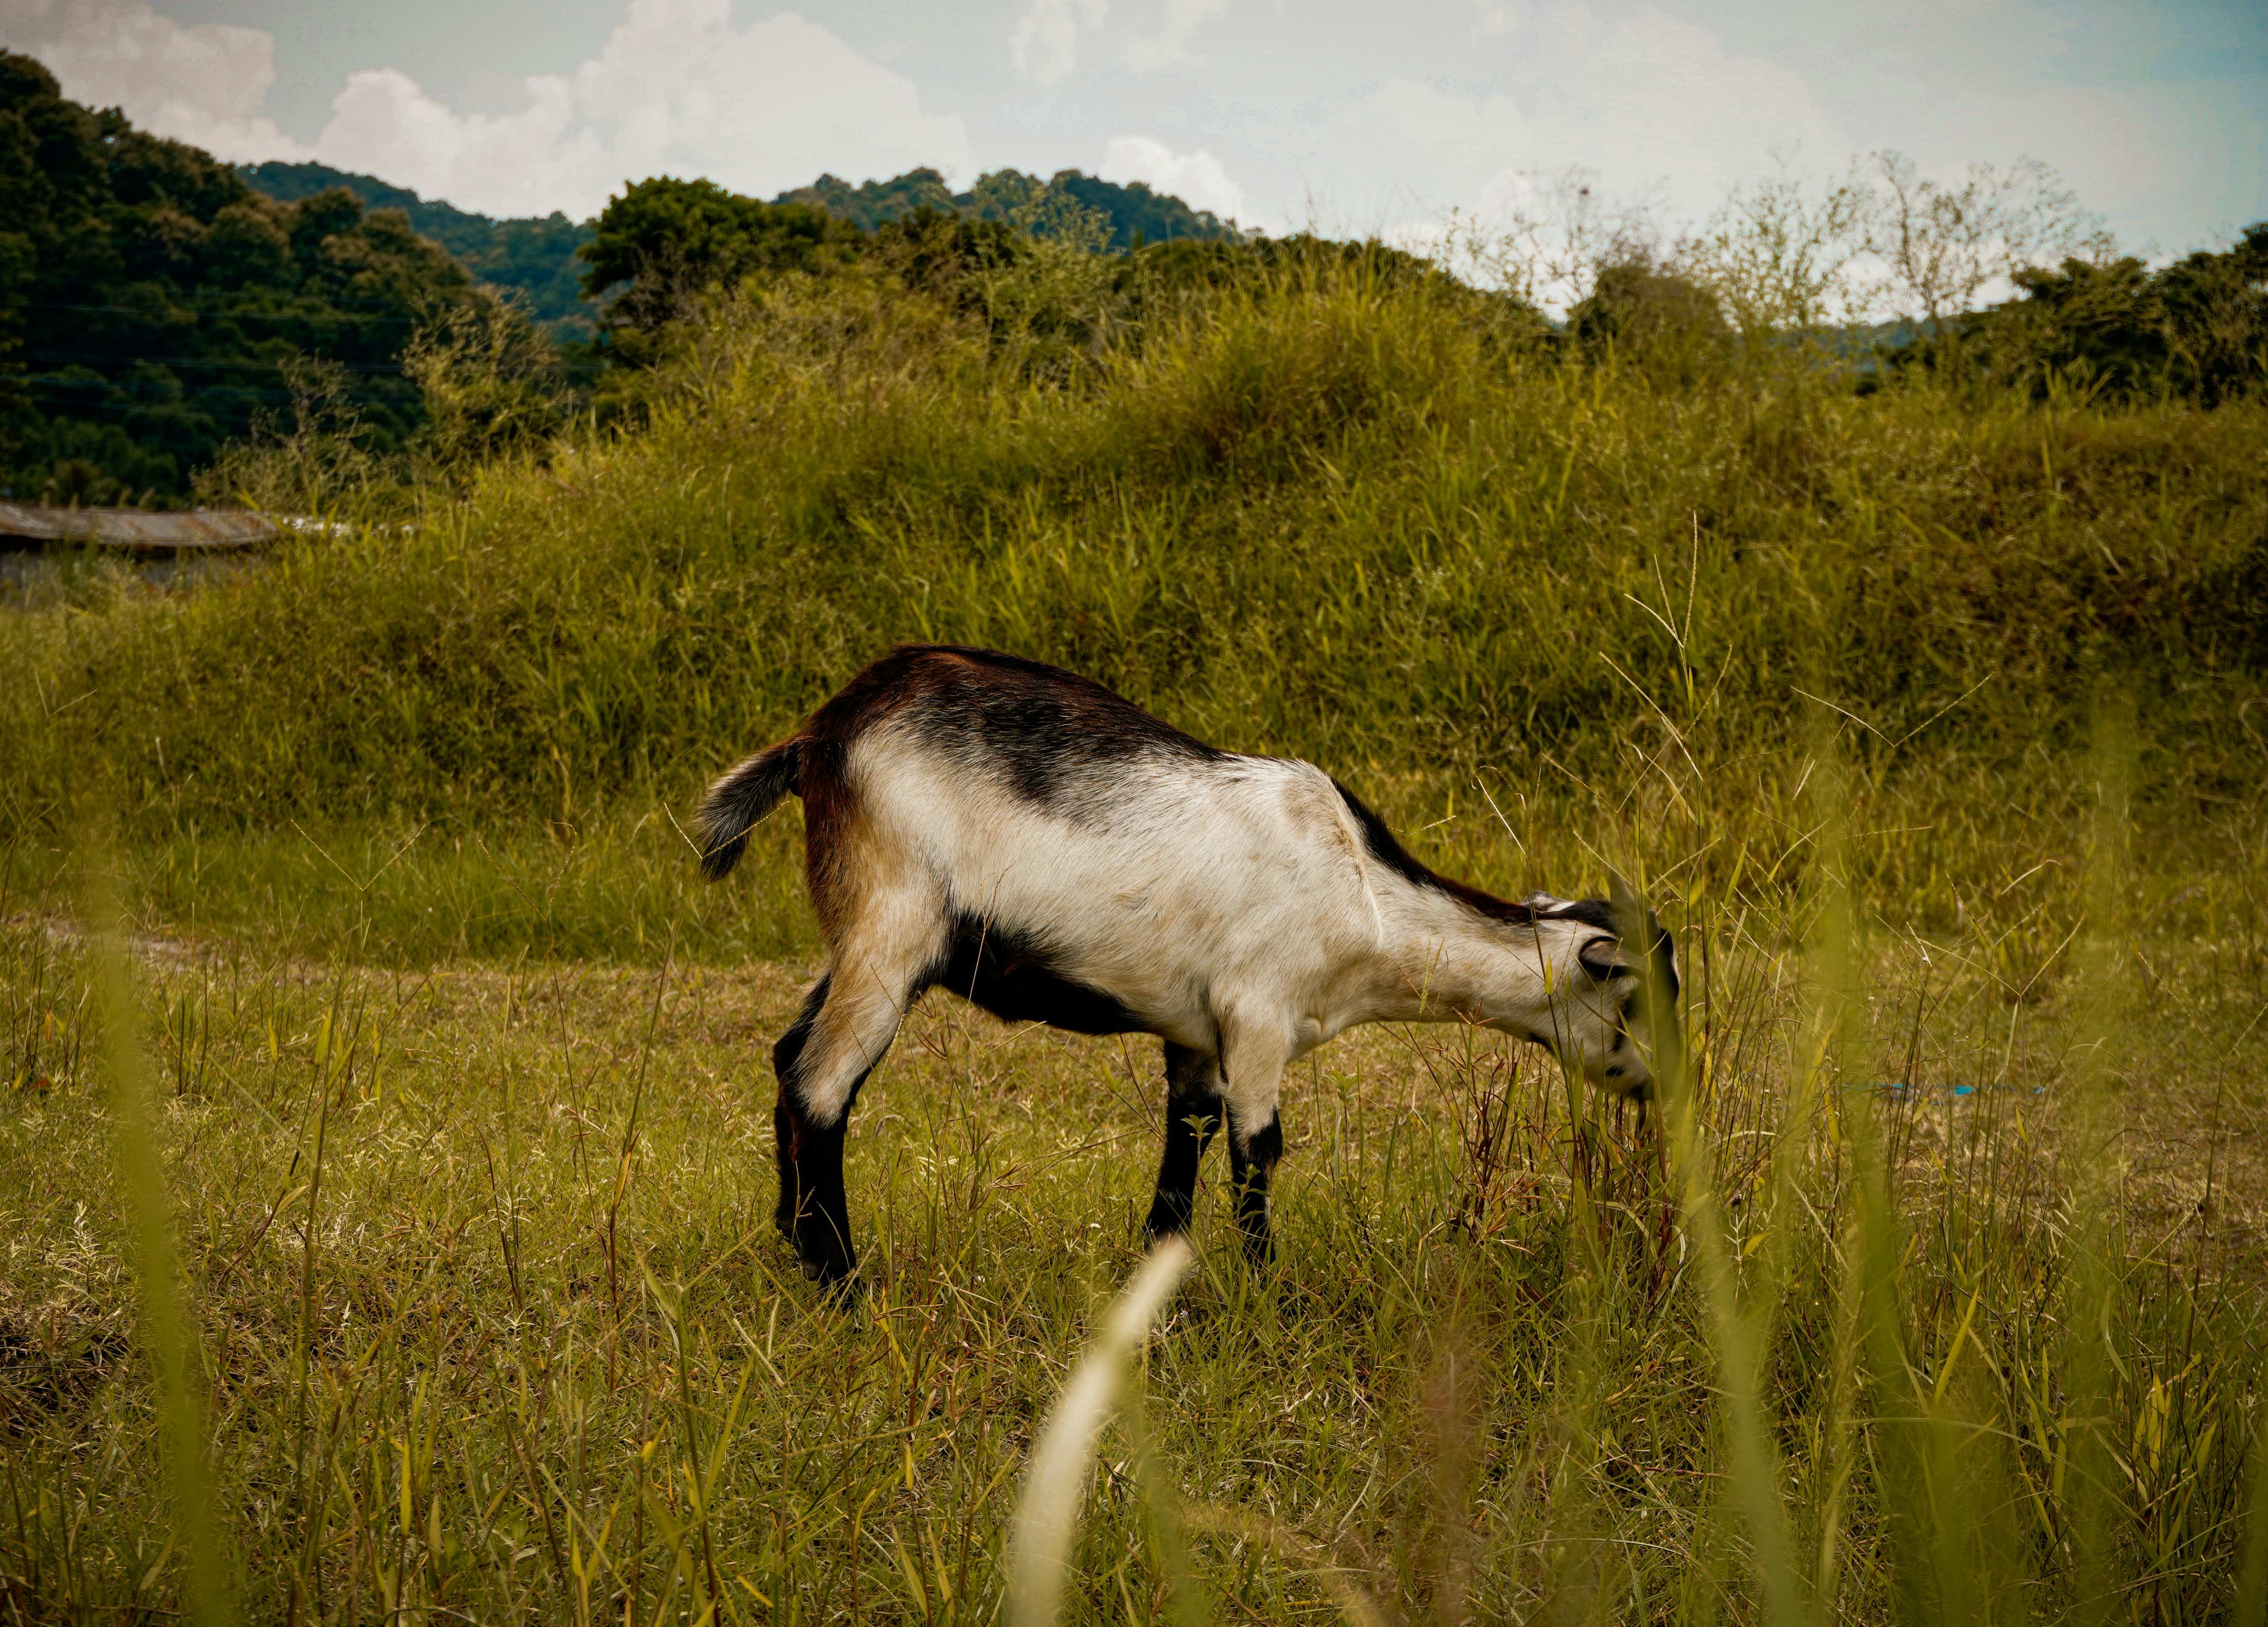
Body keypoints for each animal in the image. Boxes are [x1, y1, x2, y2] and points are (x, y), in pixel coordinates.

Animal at [695, 645, 1676, 1285]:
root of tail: (822, 736)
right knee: (824, 1083)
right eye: (1636, 997)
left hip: (861, 932)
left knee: (788, 1055)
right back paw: (843, 1280)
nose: (1665, 1087)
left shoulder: (1196, 1030)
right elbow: (1257, 1150)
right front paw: (1267, 1291)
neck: (1363, 892)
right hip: (892, 920)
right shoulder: (1258, 1015)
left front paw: (1158, 1284)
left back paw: (793, 1244)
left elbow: (1187, 1141)